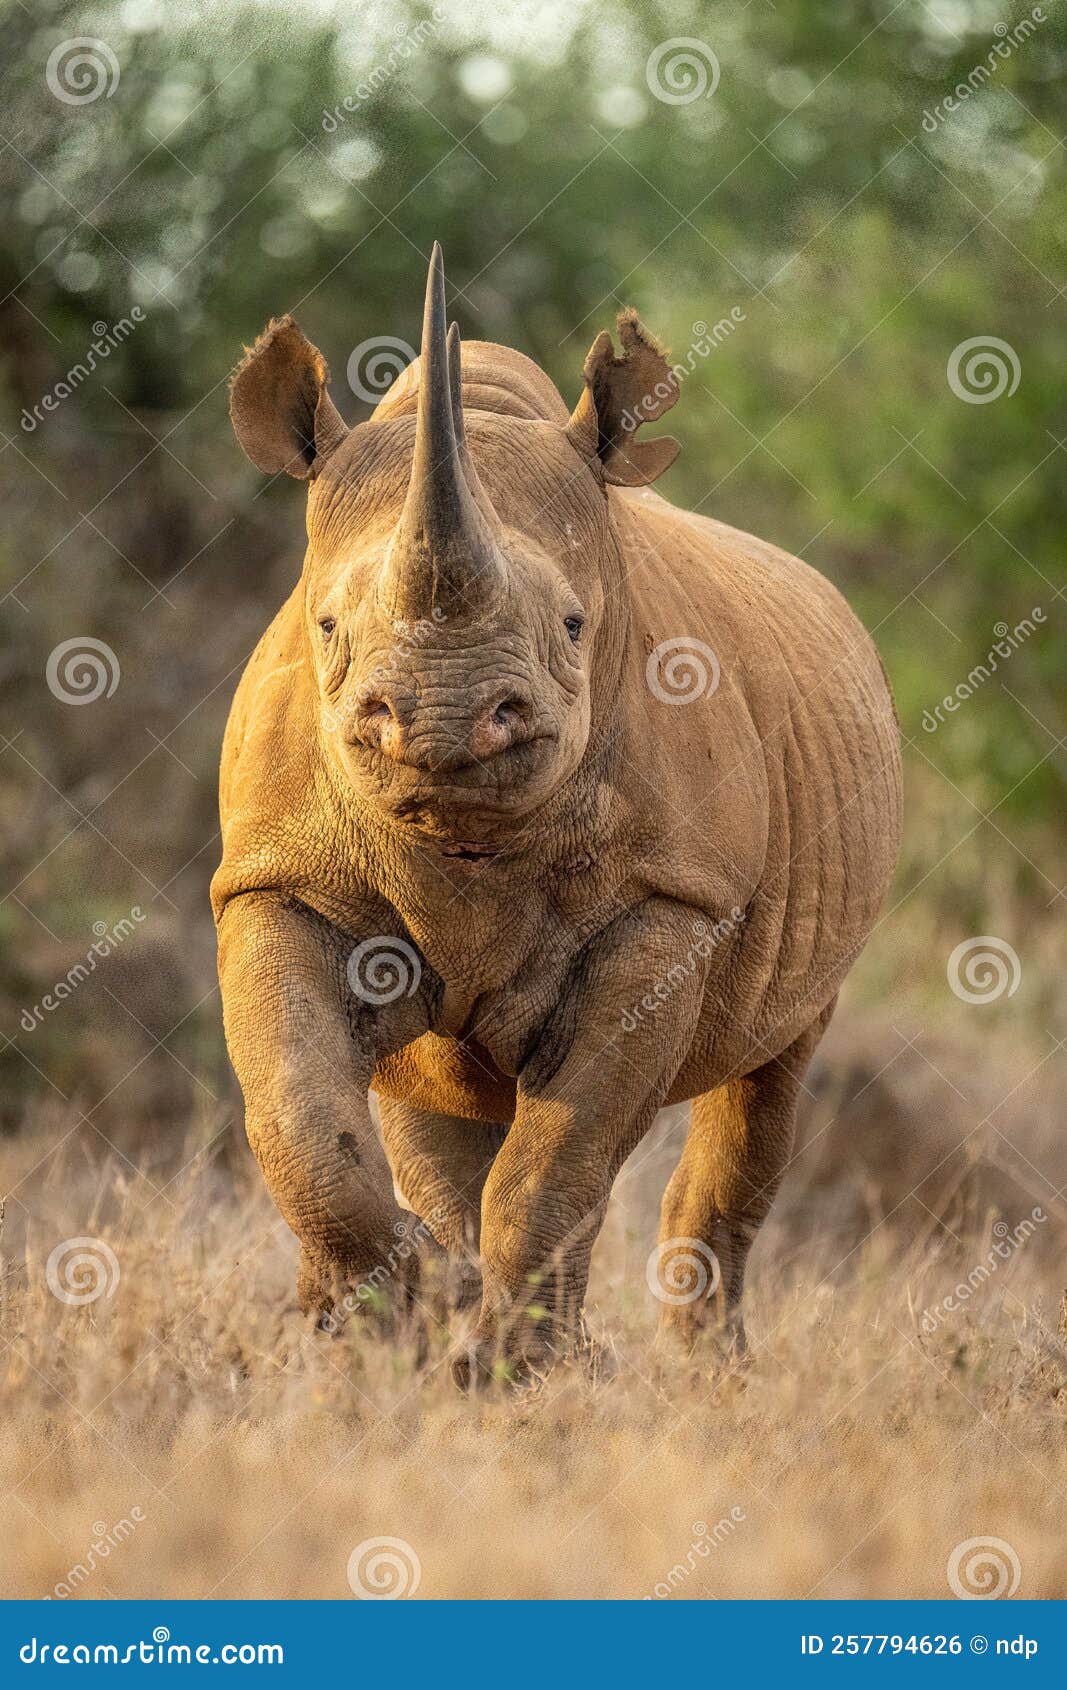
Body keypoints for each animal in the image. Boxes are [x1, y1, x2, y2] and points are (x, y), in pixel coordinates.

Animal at [214, 244, 901, 1382]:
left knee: (766, 1077)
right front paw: (392, 1325)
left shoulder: (667, 901)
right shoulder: (278, 878)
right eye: (327, 627)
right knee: (427, 1102)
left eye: (575, 626)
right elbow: (297, 1110)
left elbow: (560, 1158)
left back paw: (700, 1371)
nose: (444, 719)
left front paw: (516, 1372)